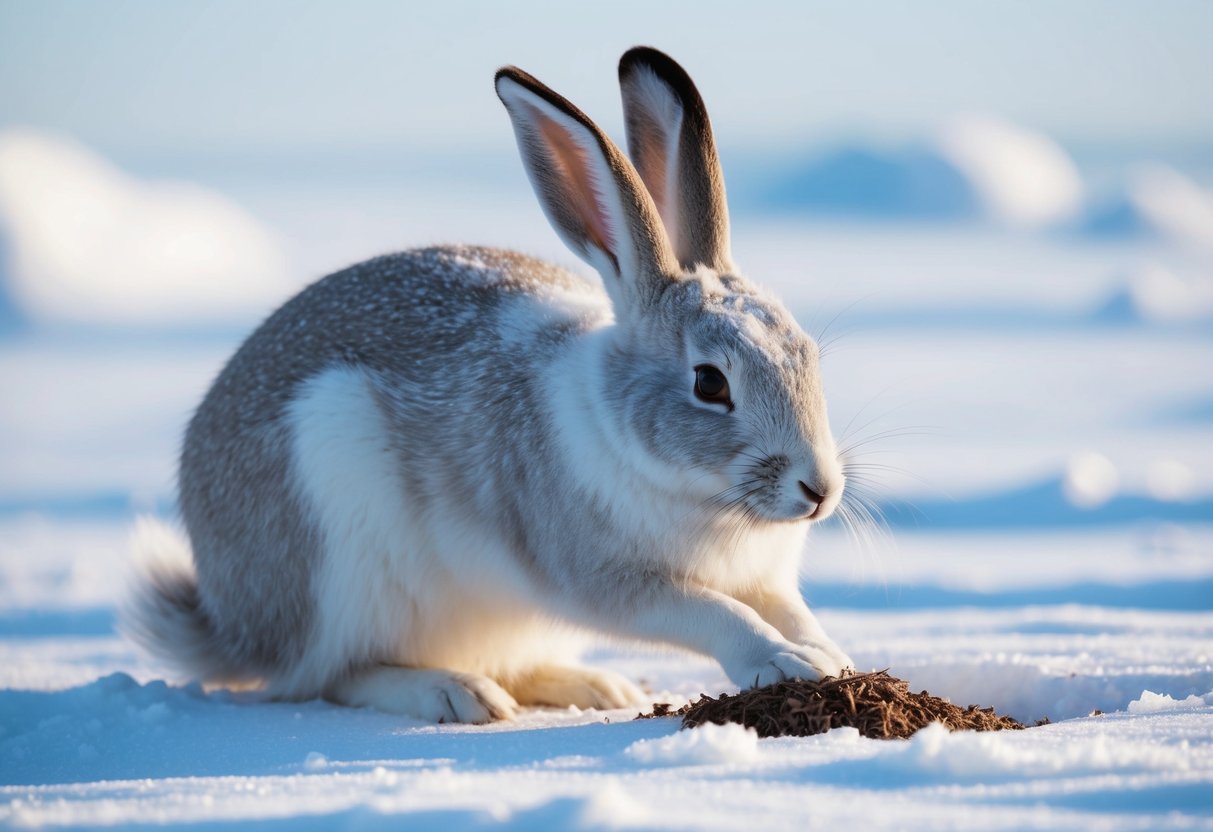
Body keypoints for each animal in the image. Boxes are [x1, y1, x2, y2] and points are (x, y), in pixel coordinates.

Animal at [123, 46, 855, 724]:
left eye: (807, 355)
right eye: (709, 383)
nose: (817, 490)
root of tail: (230, 625)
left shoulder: (764, 582)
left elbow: (791, 613)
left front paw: (831, 659)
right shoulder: (606, 577)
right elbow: (713, 613)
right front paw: (784, 664)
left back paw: (591, 686)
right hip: (338, 554)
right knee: (329, 675)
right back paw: (455, 694)